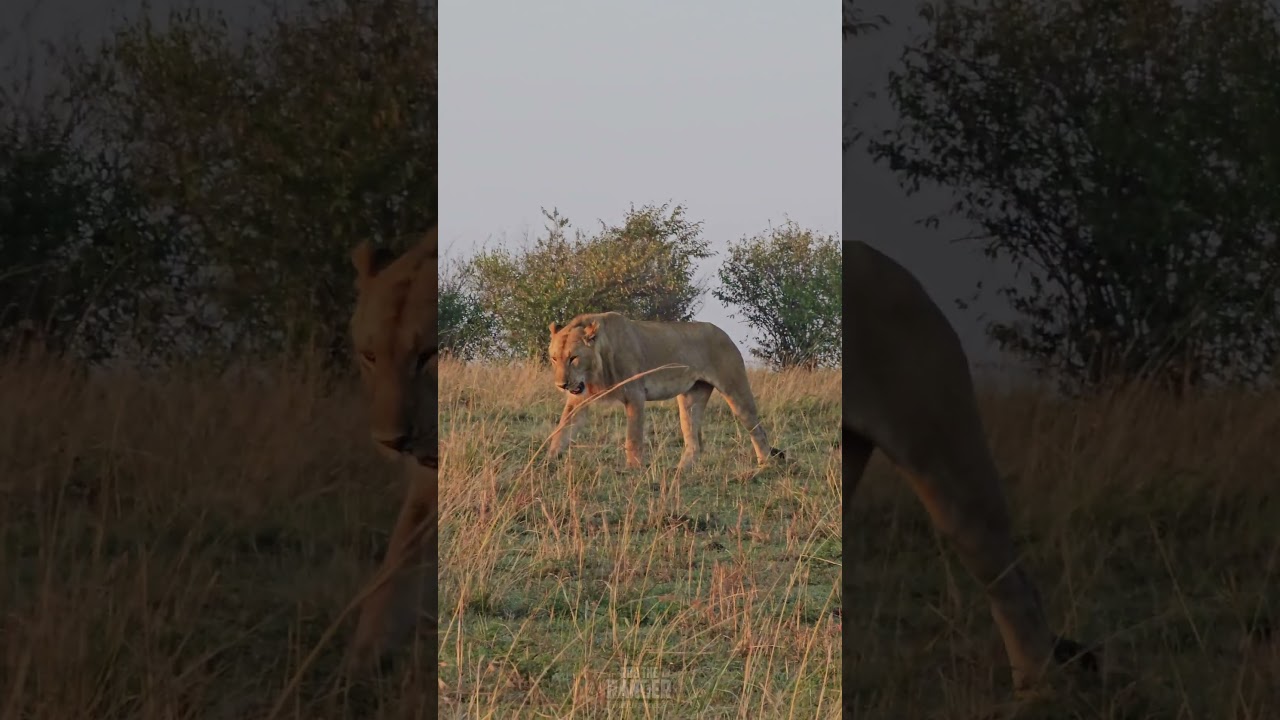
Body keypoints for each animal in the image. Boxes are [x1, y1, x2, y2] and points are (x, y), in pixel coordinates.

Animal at [547, 312, 784, 471]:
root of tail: (724, 333)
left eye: (573, 358)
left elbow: (633, 437)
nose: (561, 385)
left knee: (757, 430)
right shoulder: (577, 400)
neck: (596, 370)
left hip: (734, 388)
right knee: (694, 441)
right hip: (691, 397)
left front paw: (633, 469)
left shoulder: (635, 394)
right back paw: (681, 471)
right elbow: (561, 431)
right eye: (554, 358)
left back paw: (764, 464)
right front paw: (547, 461)